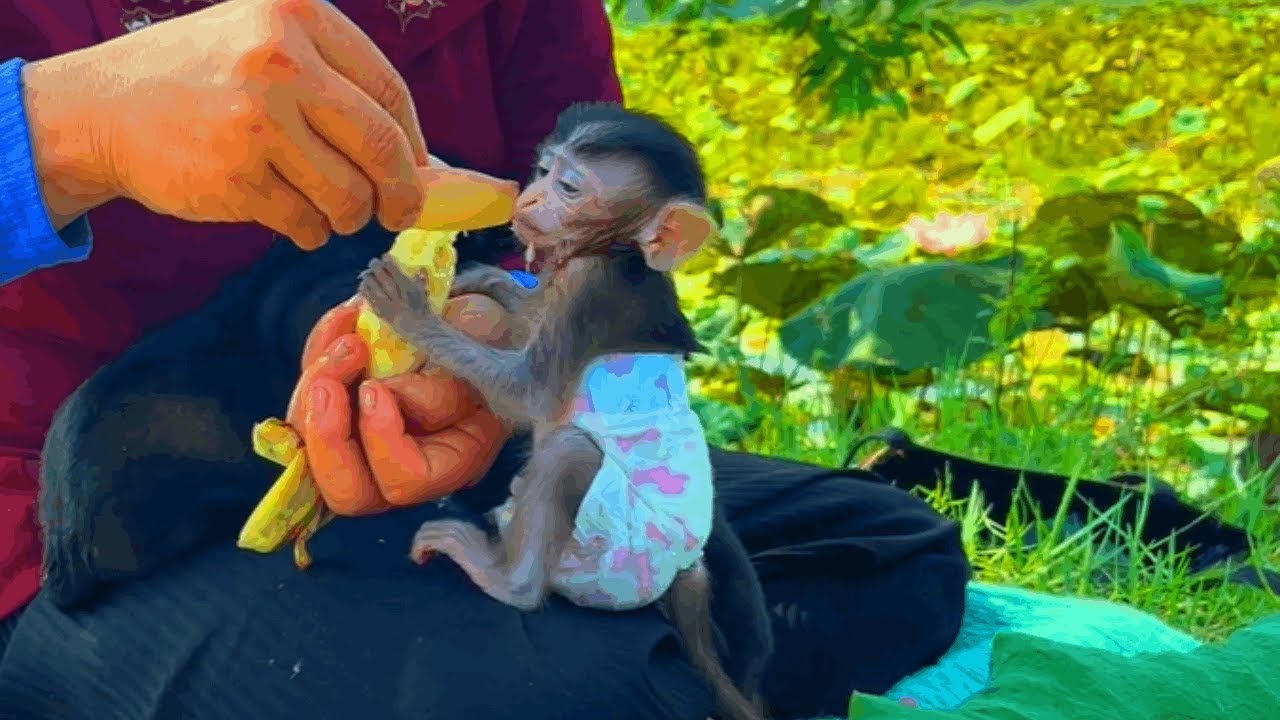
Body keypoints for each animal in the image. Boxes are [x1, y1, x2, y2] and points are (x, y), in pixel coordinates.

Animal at [357, 101, 771, 720]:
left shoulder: (587, 293)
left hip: (613, 552)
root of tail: (681, 572)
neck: (616, 251)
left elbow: (532, 395)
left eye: (569, 186)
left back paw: (508, 581)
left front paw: (408, 309)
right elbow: (528, 316)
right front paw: (486, 278)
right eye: (544, 169)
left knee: (570, 450)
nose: (527, 199)